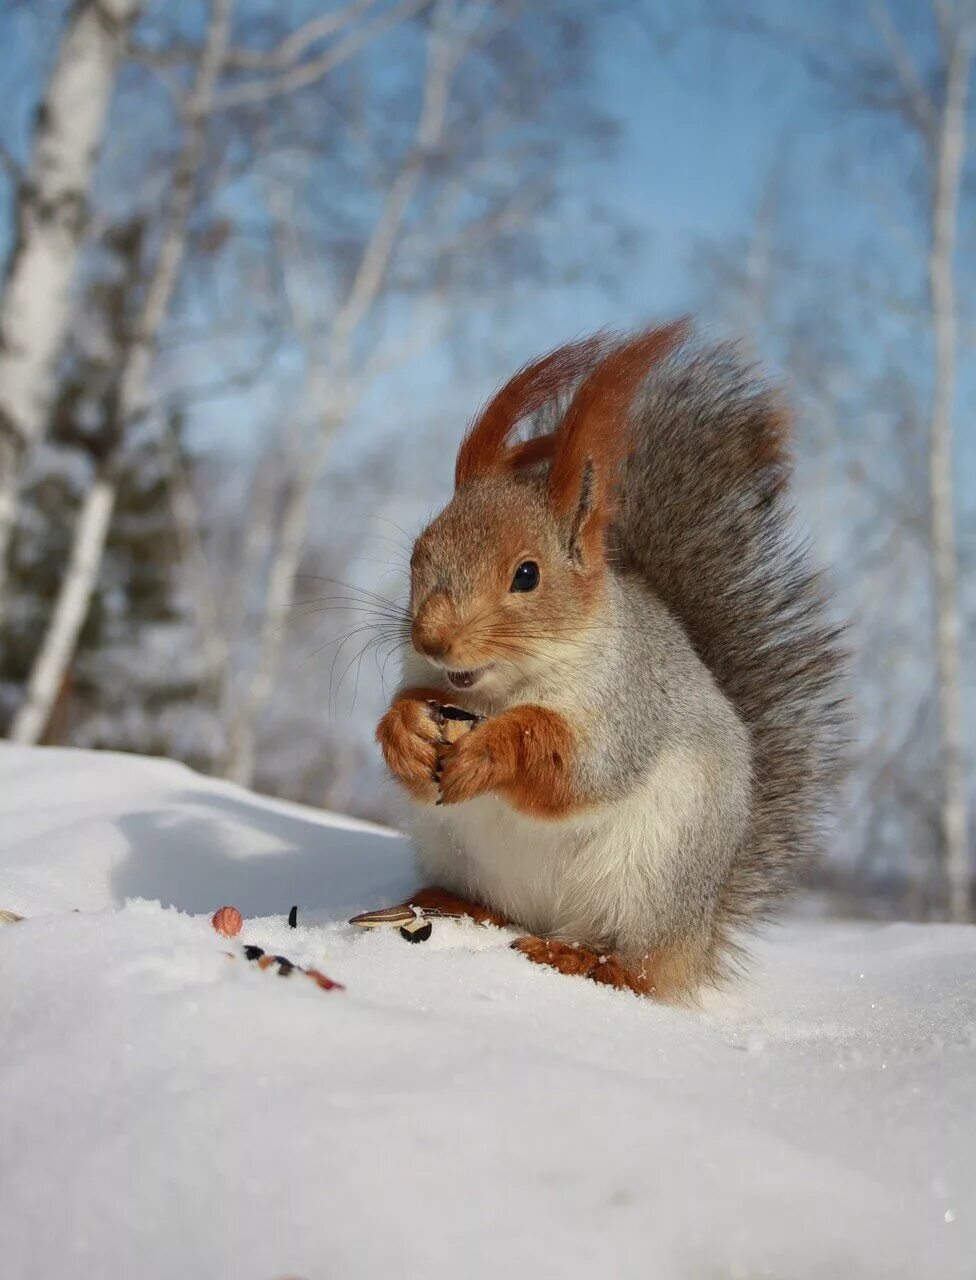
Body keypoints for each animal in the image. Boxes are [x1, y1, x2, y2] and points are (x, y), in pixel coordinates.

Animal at [368, 320, 840, 998]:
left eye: (527, 574)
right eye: (418, 552)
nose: (432, 638)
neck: (500, 688)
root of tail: (697, 938)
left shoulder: (629, 706)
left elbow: (577, 767)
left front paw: (493, 751)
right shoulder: (425, 678)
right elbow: (406, 709)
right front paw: (405, 731)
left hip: (651, 878)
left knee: (638, 970)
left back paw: (576, 957)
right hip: (453, 850)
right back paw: (451, 905)